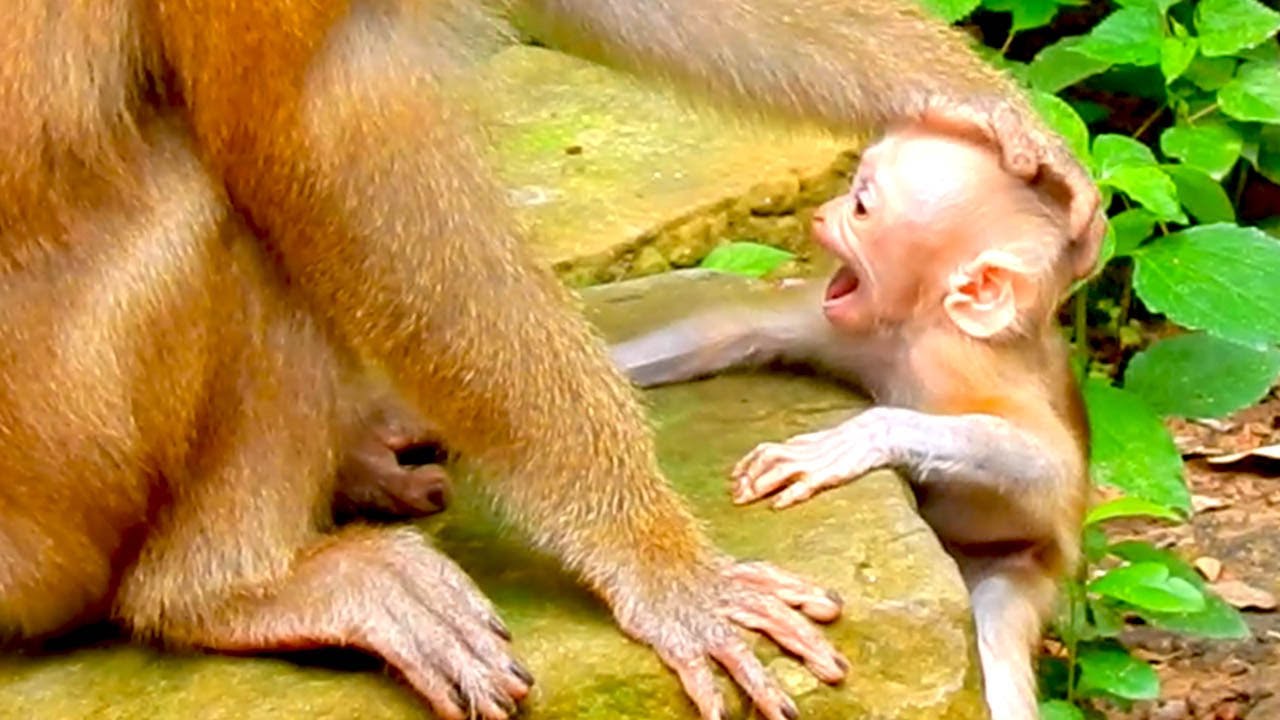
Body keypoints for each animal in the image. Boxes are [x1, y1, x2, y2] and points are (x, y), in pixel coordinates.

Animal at [608, 126, 1092, 720]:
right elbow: (731, 328)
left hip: (1022, 569)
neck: (917, 326)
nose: (821, 214)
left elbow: (1051, 467)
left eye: (861, 206)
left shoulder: (966, 363)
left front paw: (857, 440)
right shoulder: (846, 325)